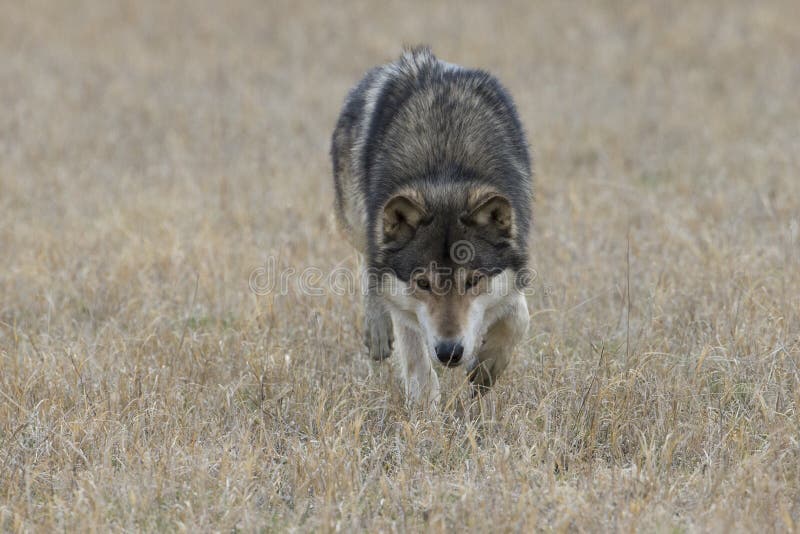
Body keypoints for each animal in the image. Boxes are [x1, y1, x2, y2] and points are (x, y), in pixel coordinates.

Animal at [331, 46, 532, 407]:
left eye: (473, 281)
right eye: (423, 283)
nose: (450, 352)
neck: (446, 172)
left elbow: (518, 318)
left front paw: (487, 367)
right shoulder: (402, 296)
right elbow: (415, 355)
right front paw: (425, 410)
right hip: (358, 219)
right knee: (369, 265)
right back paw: (377, 331)